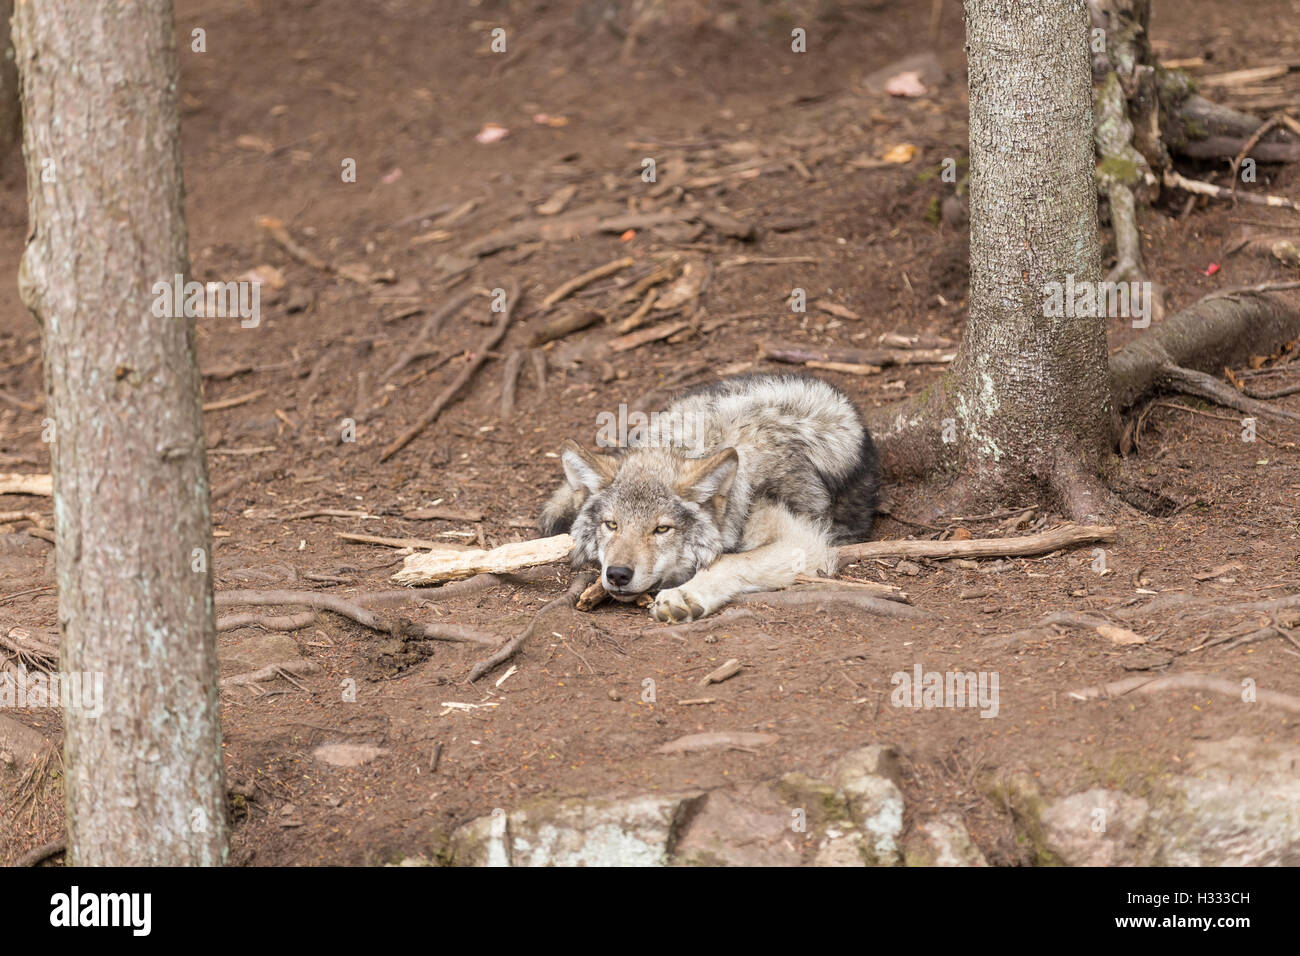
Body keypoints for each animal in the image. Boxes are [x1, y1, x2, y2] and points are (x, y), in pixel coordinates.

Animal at [539, 373, 880, 622]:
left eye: (662, 529)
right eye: (612, 525)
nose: (618, 574)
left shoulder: (803, 543)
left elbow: (729, 561)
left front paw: (684, 595)